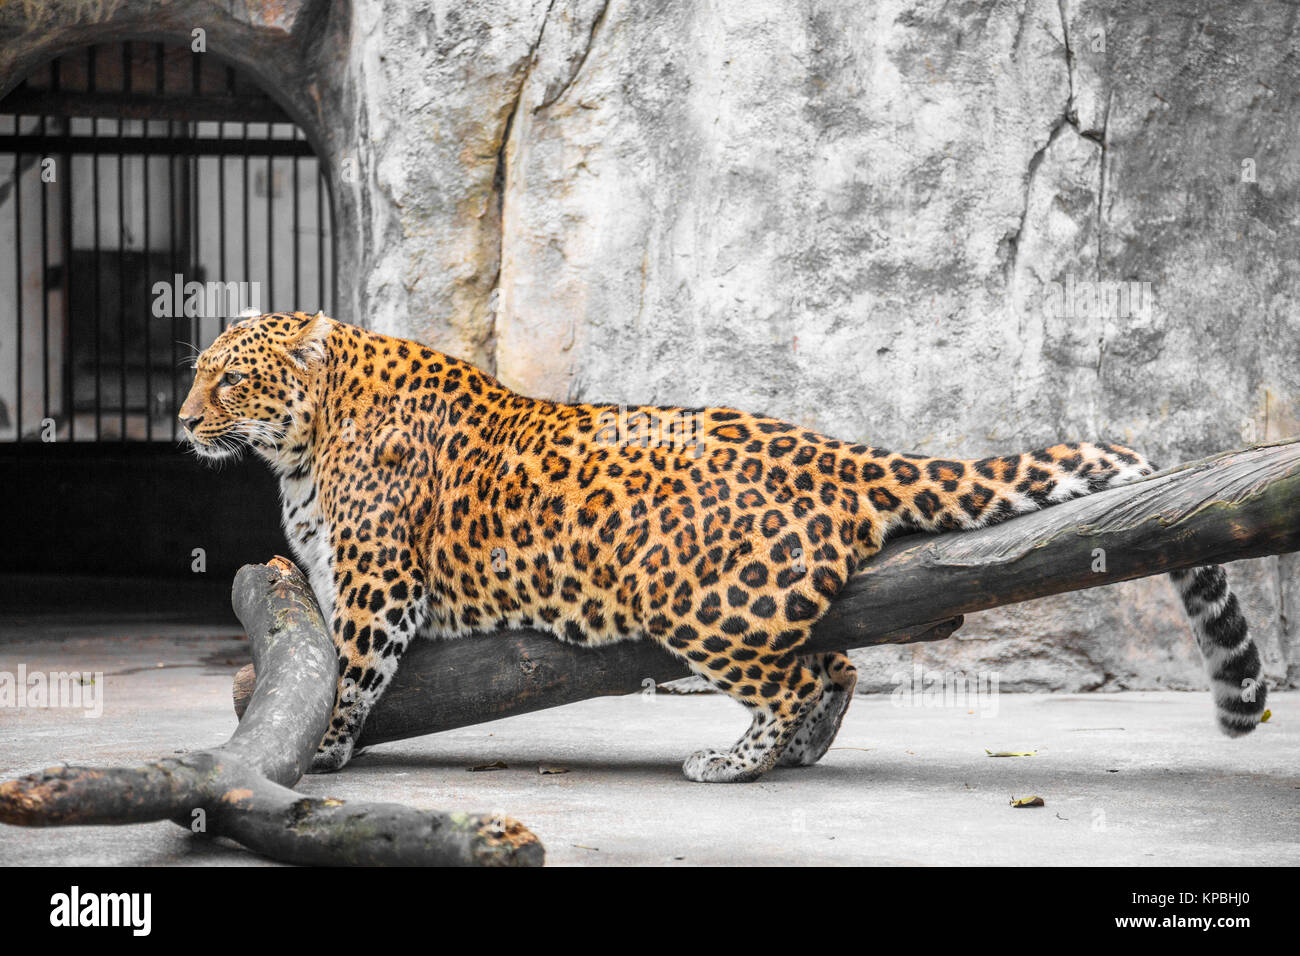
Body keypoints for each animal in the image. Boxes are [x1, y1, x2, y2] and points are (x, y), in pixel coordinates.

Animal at [179, 311, 1268, 783]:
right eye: (198, 372)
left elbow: (351, 672)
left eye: (229, 377)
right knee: (834, 664)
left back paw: (734, 759)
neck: (307, 437)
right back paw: (800, 750)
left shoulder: (377, 585)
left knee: (798, 673)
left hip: (697, 601)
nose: (184, 419)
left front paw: (320, 747)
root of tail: (836, 448)